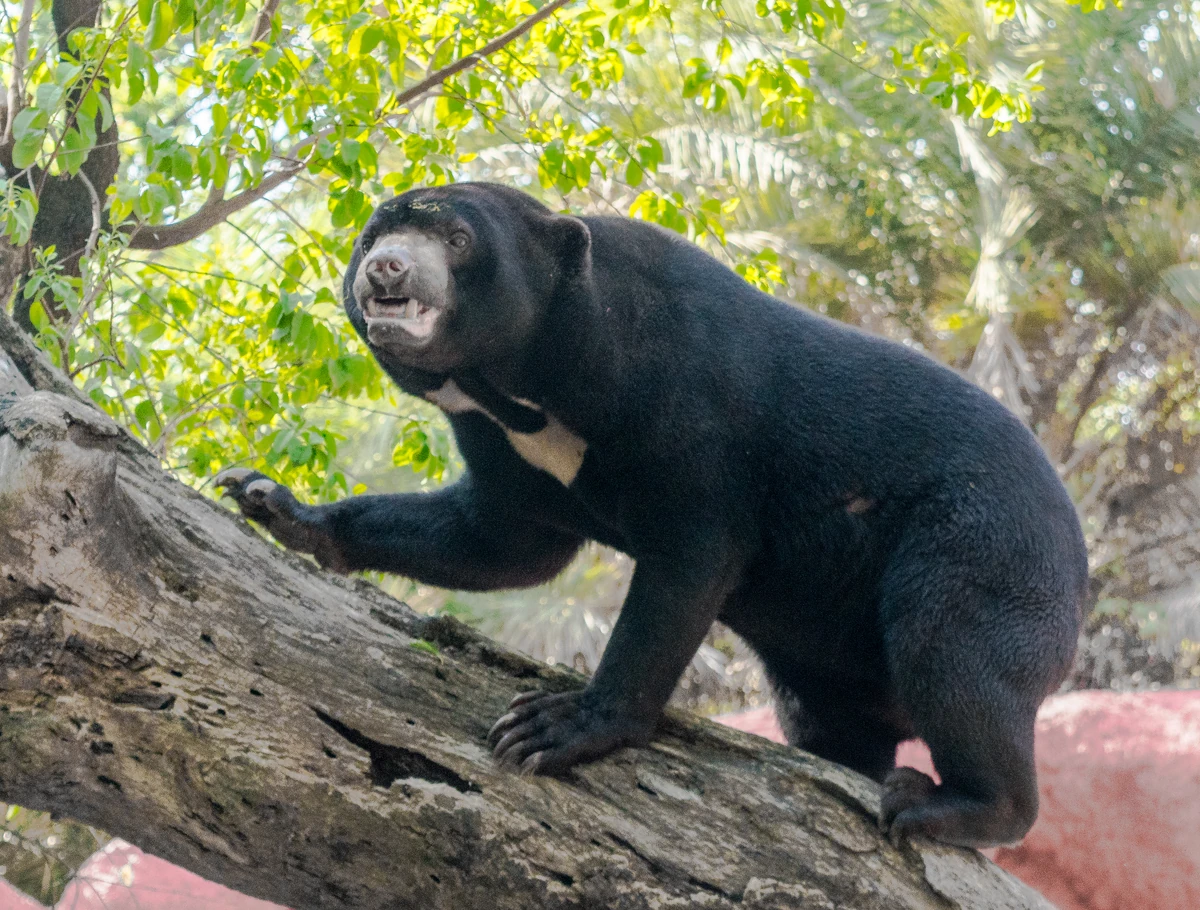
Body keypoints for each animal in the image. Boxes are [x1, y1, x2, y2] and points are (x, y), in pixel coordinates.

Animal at [216, 182, 1088, 848]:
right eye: (372, 236)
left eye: (458, 239)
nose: (387, 270)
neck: (518, 385)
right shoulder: (505, 447)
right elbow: (501, 540)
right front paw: (268, 500)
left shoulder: (689, 405)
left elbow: (686, 562)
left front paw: (553, 727)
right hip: (833, 658)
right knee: (834, 720)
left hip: (986, 547)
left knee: (953, 652)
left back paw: (941, 805)